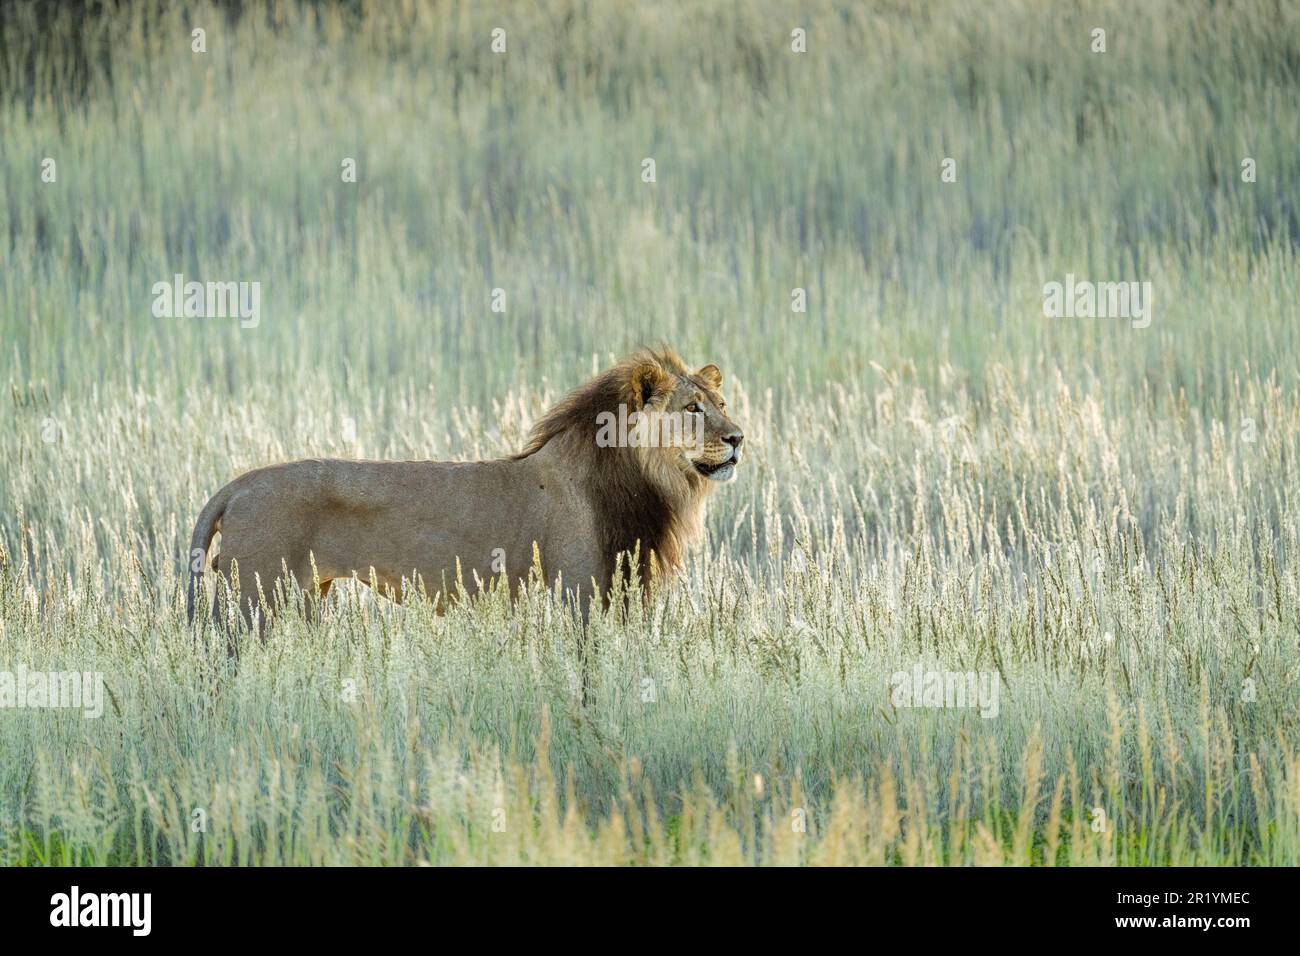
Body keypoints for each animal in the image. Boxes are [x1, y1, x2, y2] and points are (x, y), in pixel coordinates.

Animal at [188, 348, 748, 632]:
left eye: (721, 403)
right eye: (692, 409)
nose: (739, 437)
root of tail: (237, 486)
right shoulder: (578, 593)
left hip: (301, 599)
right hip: (257, 603)